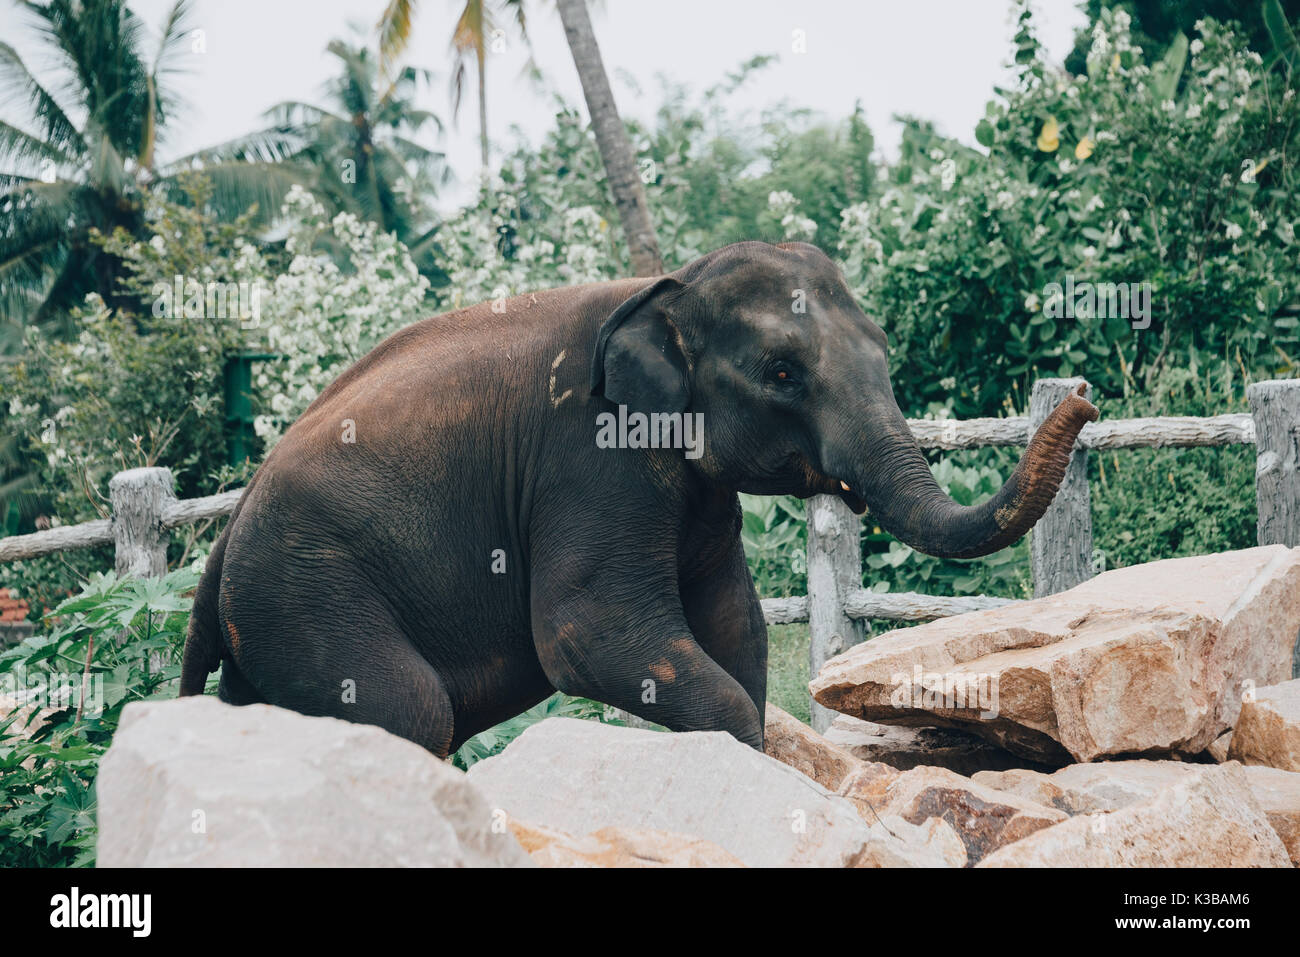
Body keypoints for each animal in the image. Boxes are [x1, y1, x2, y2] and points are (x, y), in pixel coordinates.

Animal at [179, 240, 1098, 755]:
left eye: (881, 345)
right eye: (782, 372)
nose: (1085, 398)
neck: (668, 285)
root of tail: (222, 540)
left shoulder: (697, 489)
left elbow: (736, 624)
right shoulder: (590, 463)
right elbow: (587, 634)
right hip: (309, 590)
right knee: (411, 710)